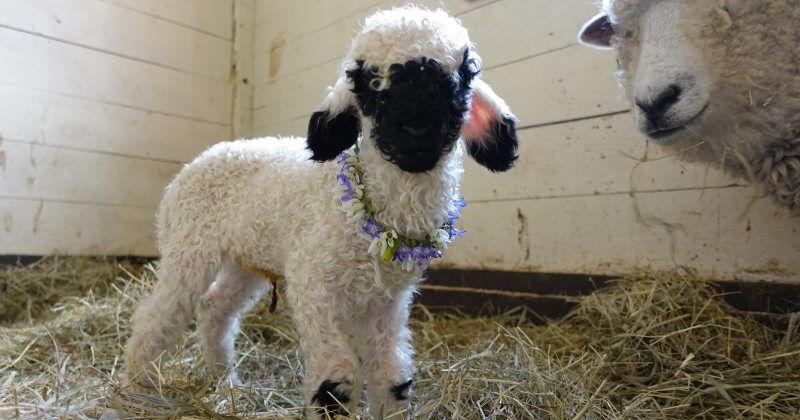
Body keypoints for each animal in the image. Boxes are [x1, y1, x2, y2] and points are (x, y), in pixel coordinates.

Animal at [124, 6, 518, 418]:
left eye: (458, 79)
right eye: (369, 84)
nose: (416, 129)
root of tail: (199, 160)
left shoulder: (389, 300)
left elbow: (392, 374)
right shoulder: (314, 282)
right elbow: (337, 381)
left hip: (245, 259)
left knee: (215, 308)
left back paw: (225, 382)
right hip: (188, 247)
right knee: (158, 314)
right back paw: (135, 386)